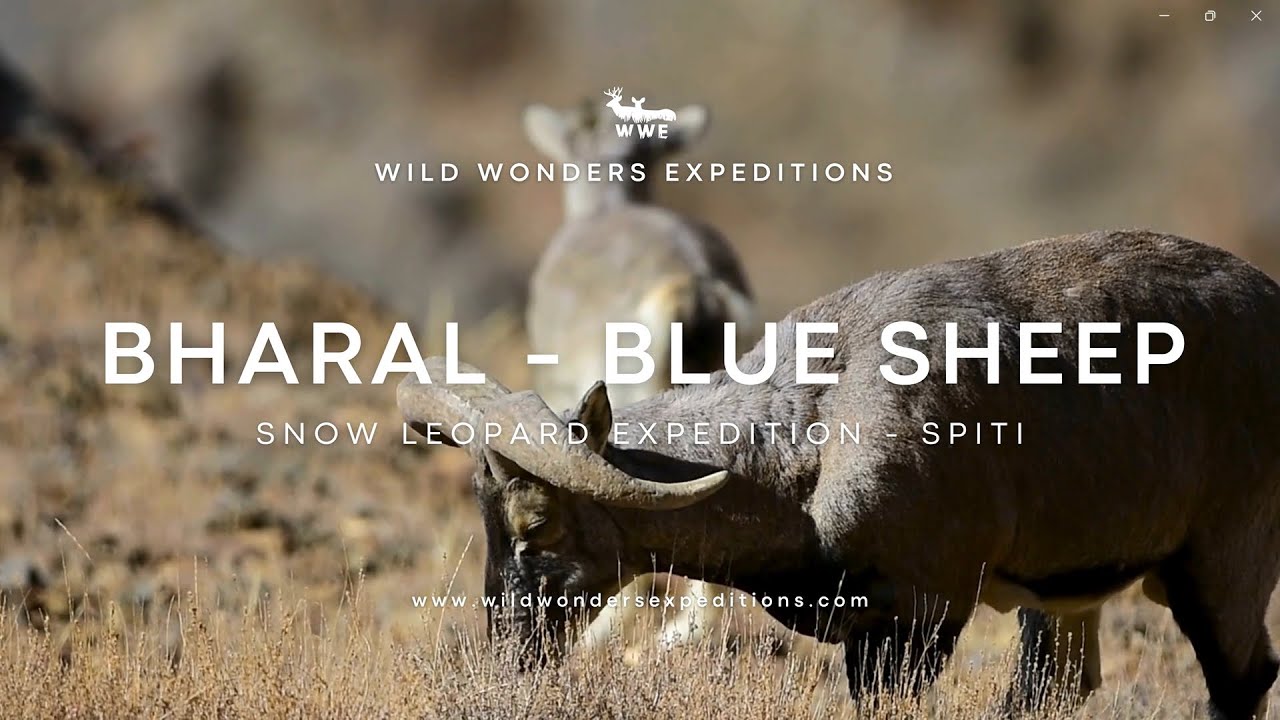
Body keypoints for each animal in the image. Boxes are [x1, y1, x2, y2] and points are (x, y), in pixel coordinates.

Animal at [398, 230, 1280, 719]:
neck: (819, 430)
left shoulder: (919, 614)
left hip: (1225, 561)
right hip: (1067, 597)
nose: (510, 655)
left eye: (536, 524)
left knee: (1243, 678)